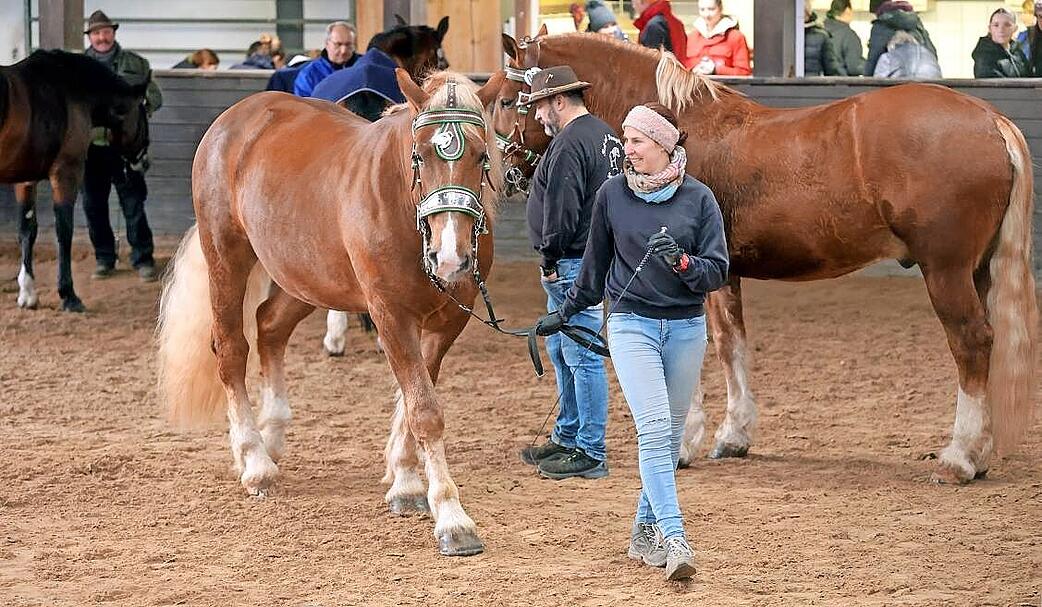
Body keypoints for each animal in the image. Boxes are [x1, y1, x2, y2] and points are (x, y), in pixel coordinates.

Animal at [1, 49, 149, 312]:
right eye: (143, 116)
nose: (144, 162)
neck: (70, 88)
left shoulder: (26, 180)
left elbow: (27, 231)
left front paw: (27, 294)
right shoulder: (66, 173)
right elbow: (64, 231)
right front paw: (69, 295)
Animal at [157, 69, 505, 557]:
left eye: (481, 154)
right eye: (420, 155)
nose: (451, 257)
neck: (400, 205)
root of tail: (237, 117)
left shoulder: (448, 320)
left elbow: (413, 404)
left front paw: (404, 481)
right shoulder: (389, 313)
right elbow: (424, 411)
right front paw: (453, 519)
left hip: (306, 276)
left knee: (269, 326)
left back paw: (271, 435)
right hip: (226, 256)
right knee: (230, 349)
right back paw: (255, 461)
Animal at [492, 32, 1037, 485]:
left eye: (502, 99)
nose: (502, 176)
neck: (679, 134)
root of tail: (992, 120)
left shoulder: (688, 270)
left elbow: (699, 348)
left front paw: (682, 445)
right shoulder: (722, 273)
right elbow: (731, 345)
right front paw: (733, 437)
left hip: (945, 270)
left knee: (971, 342)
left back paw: (959, 459)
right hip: (977, 271)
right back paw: (979, 455)